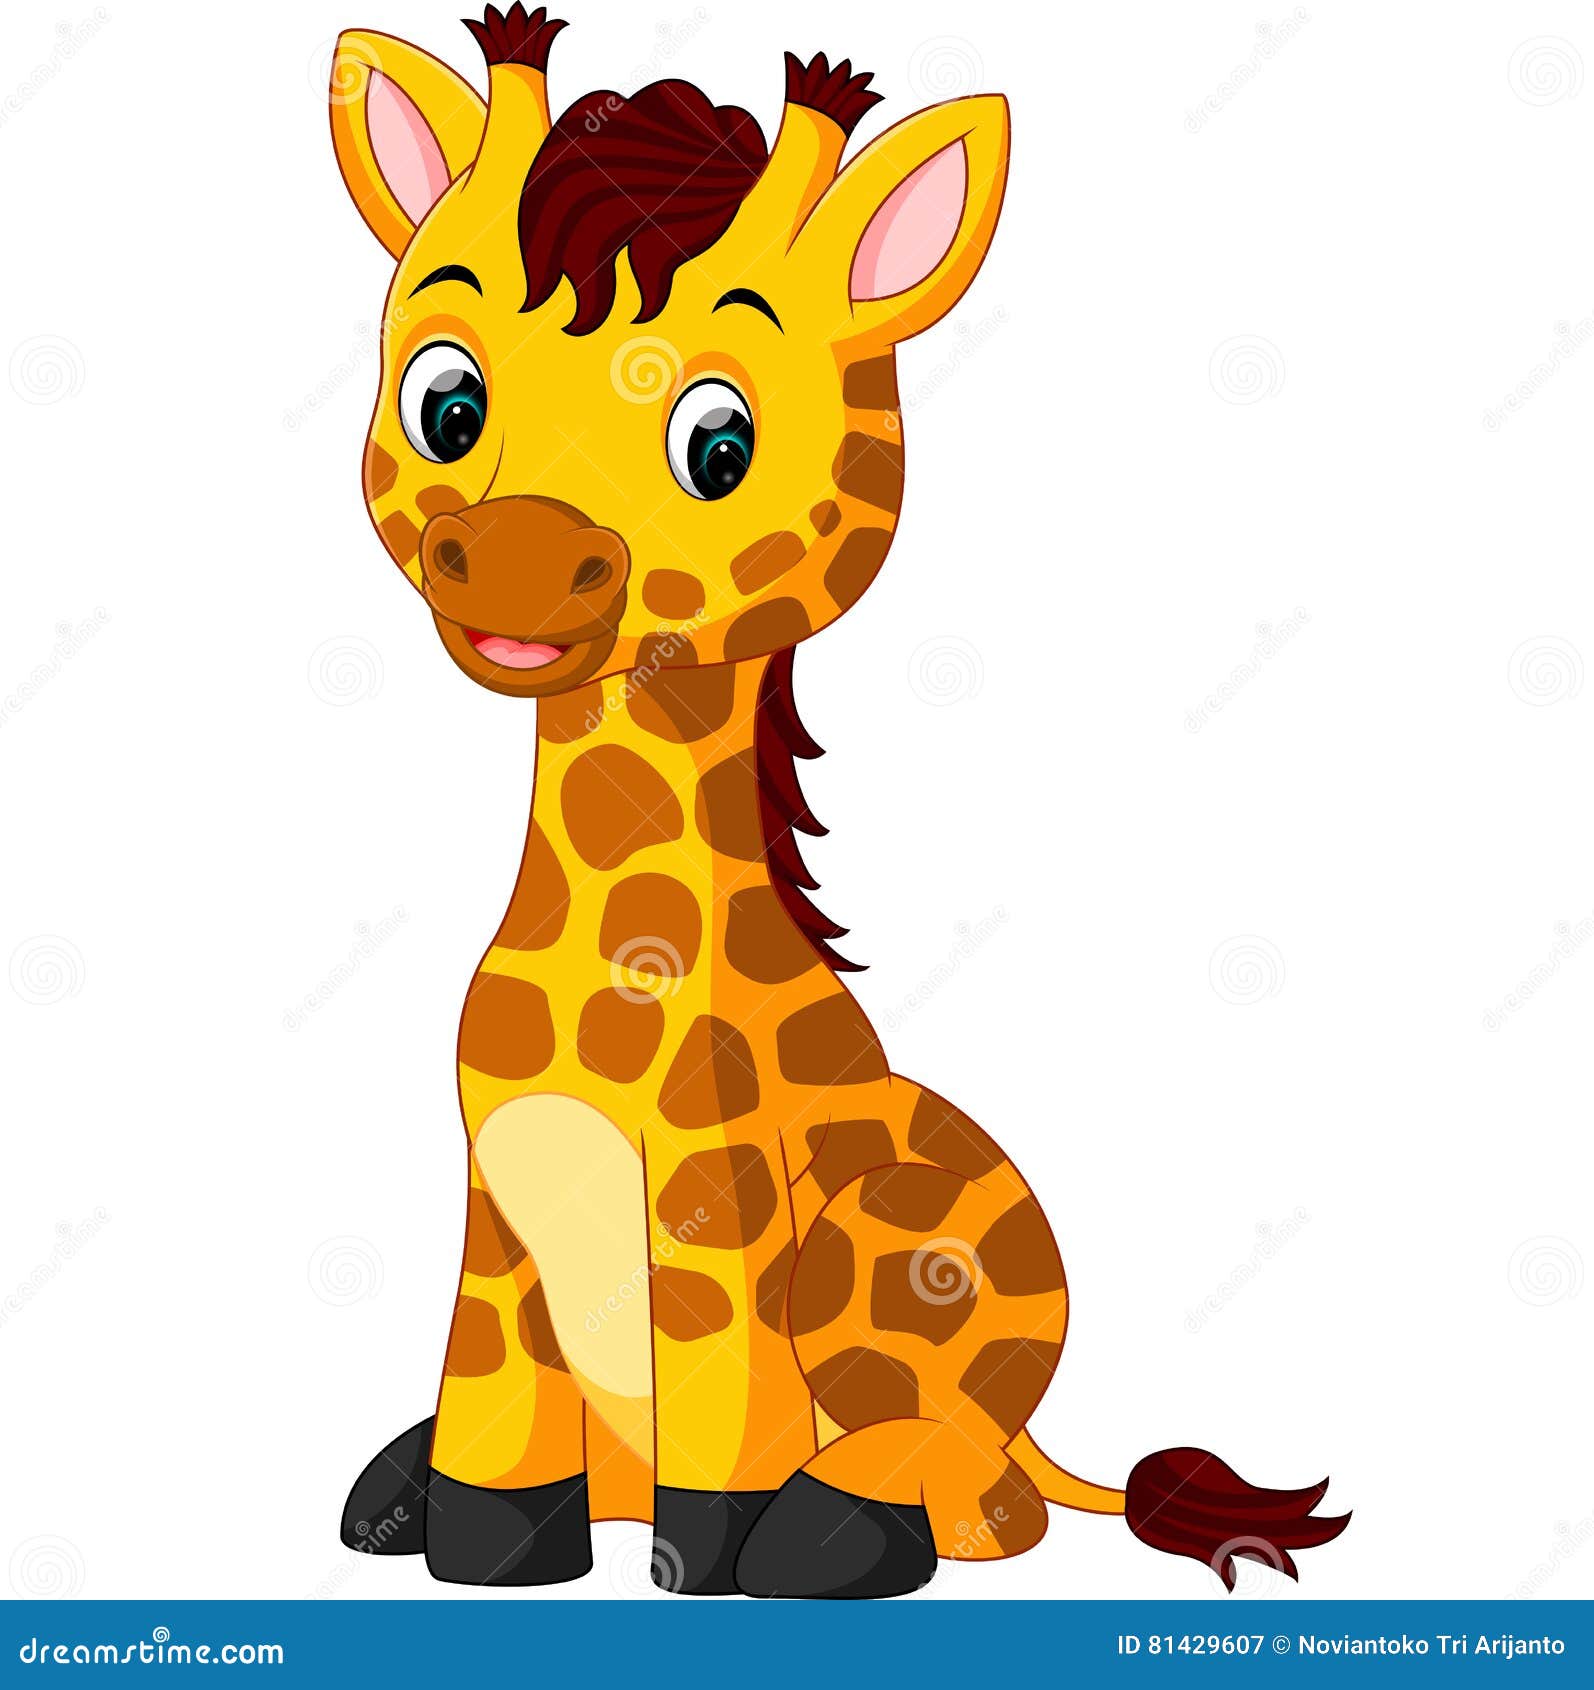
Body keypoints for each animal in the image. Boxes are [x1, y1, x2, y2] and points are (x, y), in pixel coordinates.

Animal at [328, 5, 1350, 1597]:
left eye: (719, 444)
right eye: (448, 400)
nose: (510, 561)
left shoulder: (715, 1212)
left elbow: (720, 1438)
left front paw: (722, 1554)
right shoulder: (496, 1202)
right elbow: (492, 1421)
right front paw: (473, 1532)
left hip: (906, 1266)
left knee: (981, 1492)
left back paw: (844, 1524)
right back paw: (391, 1481)